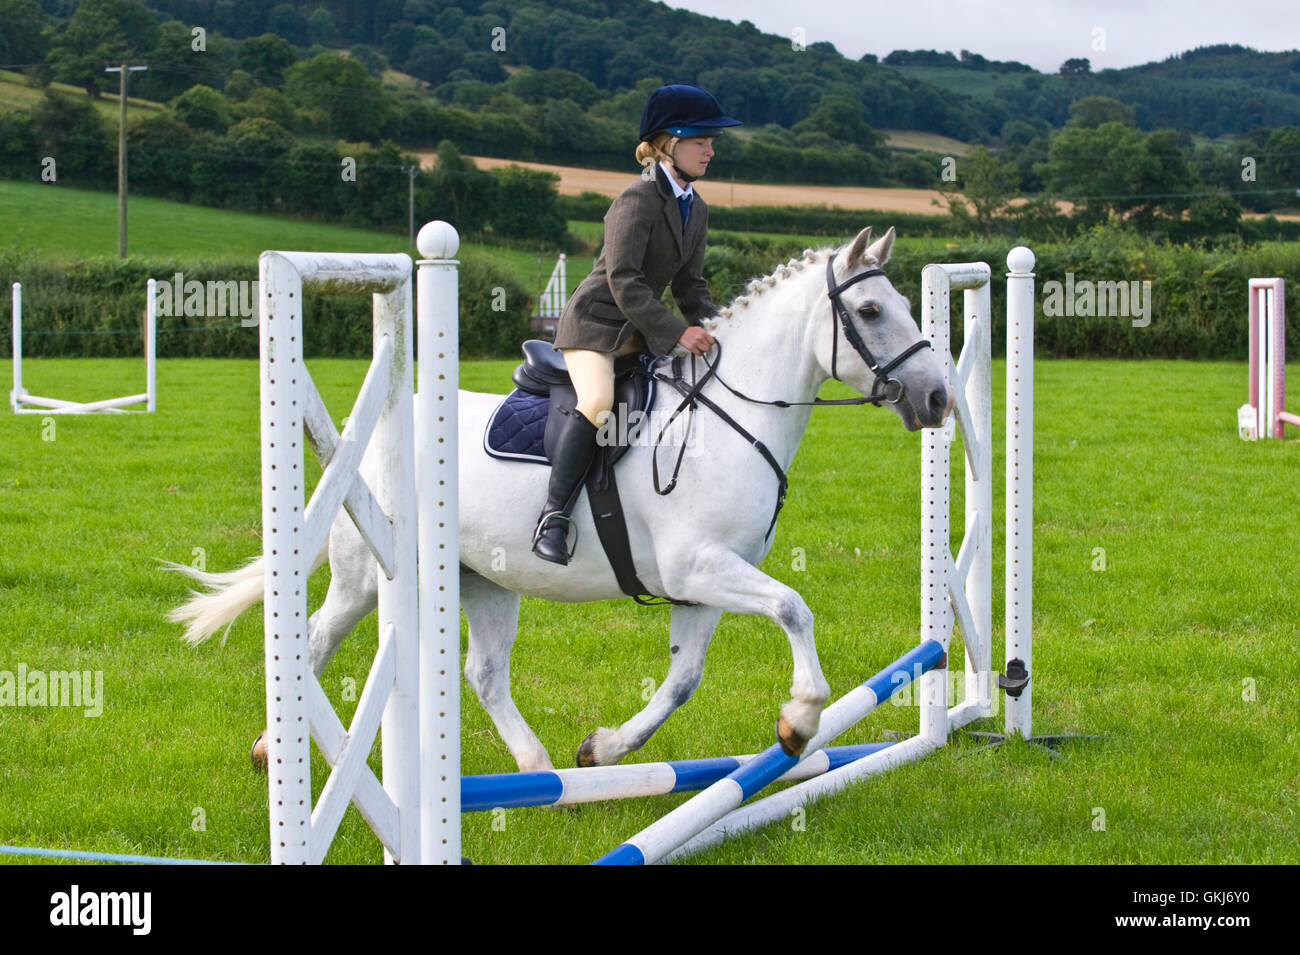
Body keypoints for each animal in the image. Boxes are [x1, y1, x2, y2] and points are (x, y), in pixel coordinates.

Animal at [169, 225, 953, 773]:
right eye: (871, 309)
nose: (938, 398)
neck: (729, 417)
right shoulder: (701, 566)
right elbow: (794, 608)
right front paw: (801, 717)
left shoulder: (701, 584)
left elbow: (683, 680)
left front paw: (602, 750)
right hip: (368, 576)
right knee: (316, 638)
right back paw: (271, 749)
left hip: (485, 579)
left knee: (483, 673)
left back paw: (539, 766)